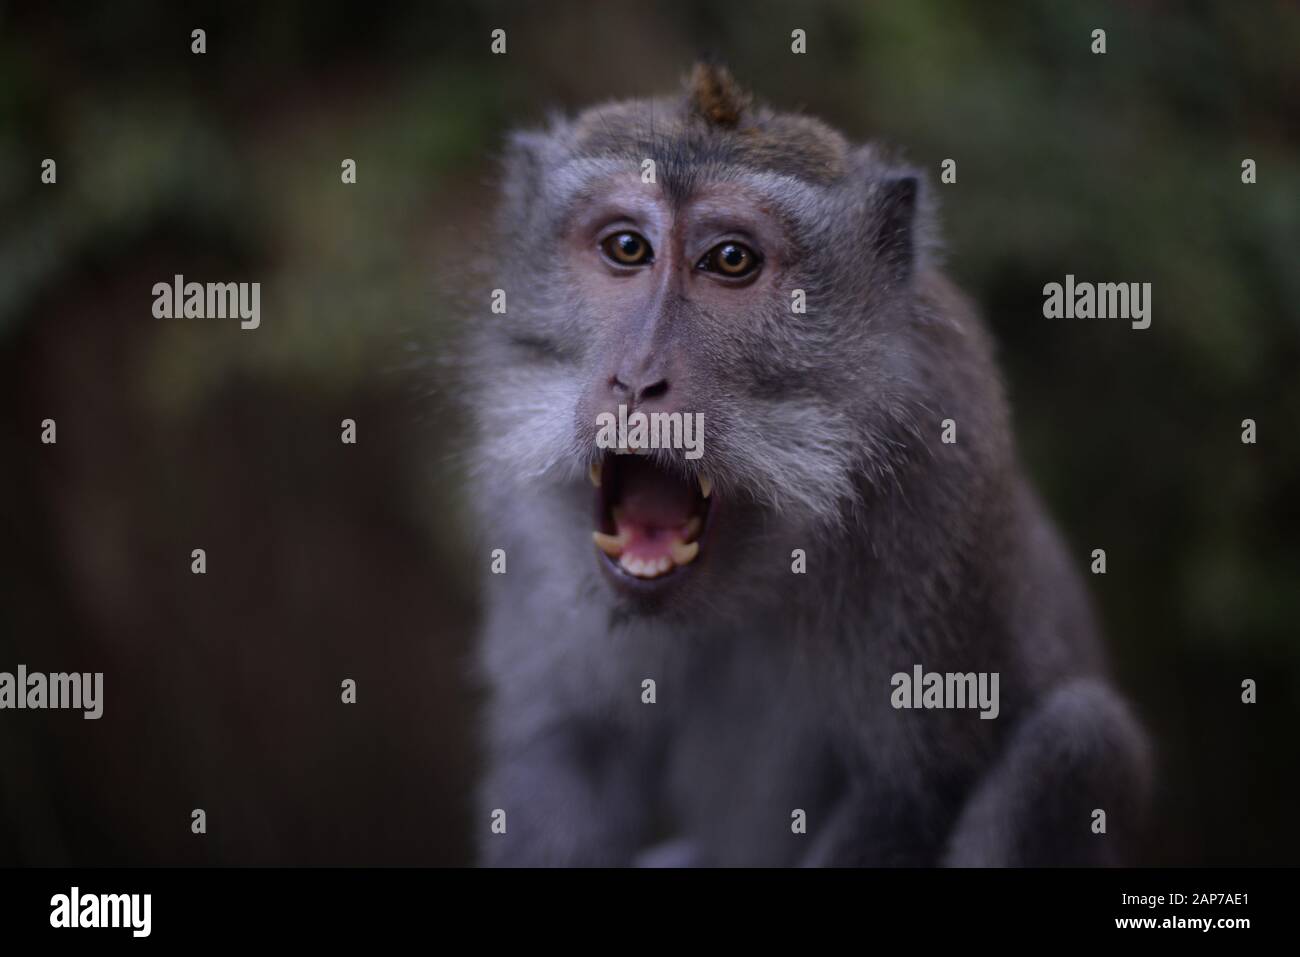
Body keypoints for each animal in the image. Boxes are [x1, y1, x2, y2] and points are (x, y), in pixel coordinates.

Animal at [467, 64, 1152, 867]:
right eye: (627, 248)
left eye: (731, 260)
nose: (636, 380)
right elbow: (573, 747)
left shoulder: (942, 459)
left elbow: (910, 788)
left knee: (1075, 742)